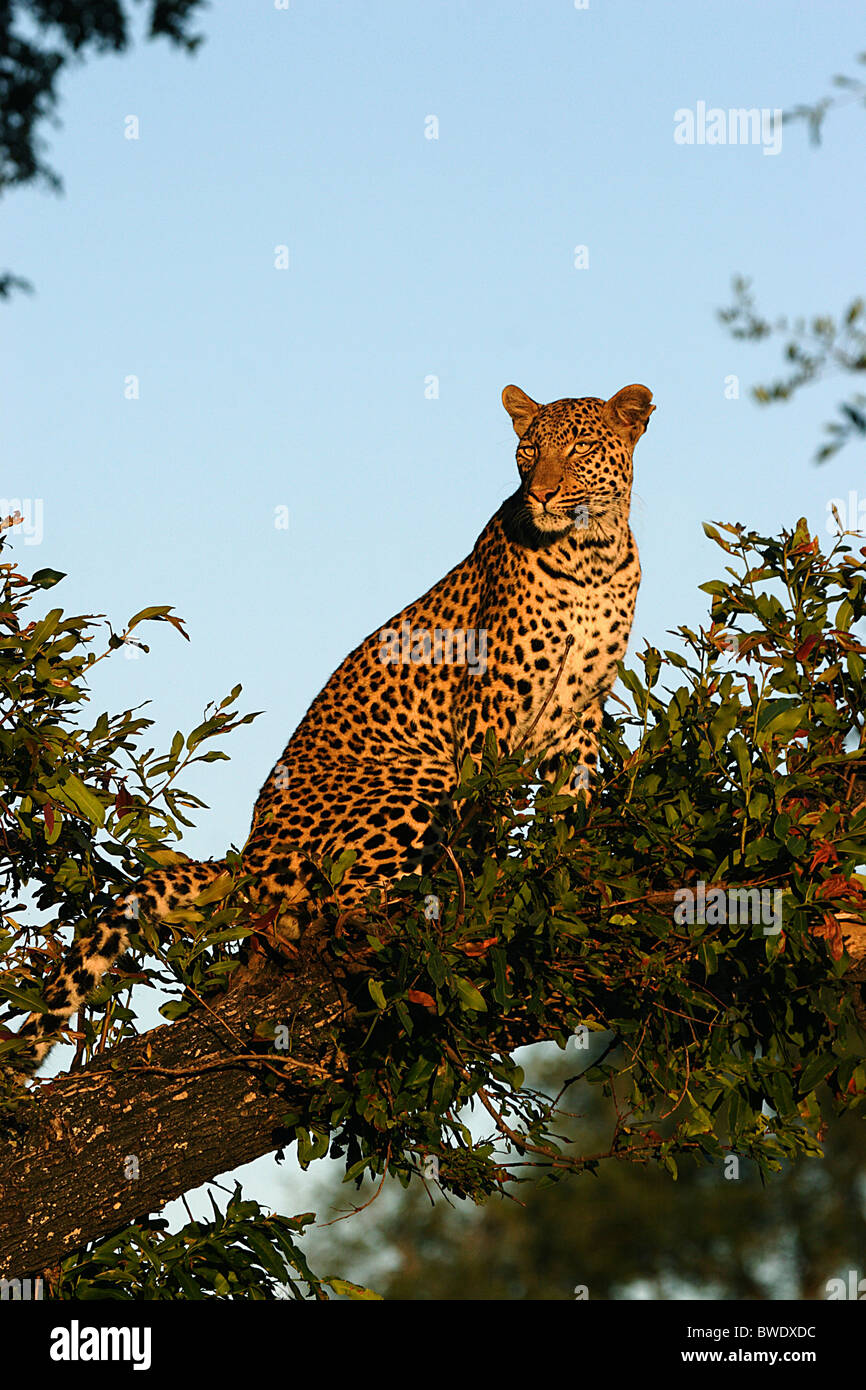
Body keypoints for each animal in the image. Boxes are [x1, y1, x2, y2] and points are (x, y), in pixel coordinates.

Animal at [12, 381, 654, 1070]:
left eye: (580, 447)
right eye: (528, 451)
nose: (541, 493)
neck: (593, 556)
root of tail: (249, 856)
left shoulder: (582, 714)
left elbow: (573, 802)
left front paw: (572, 870)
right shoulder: (491, 710)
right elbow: (485, 813)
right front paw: (488, 889)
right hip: (415, 775)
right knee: (330, 903)